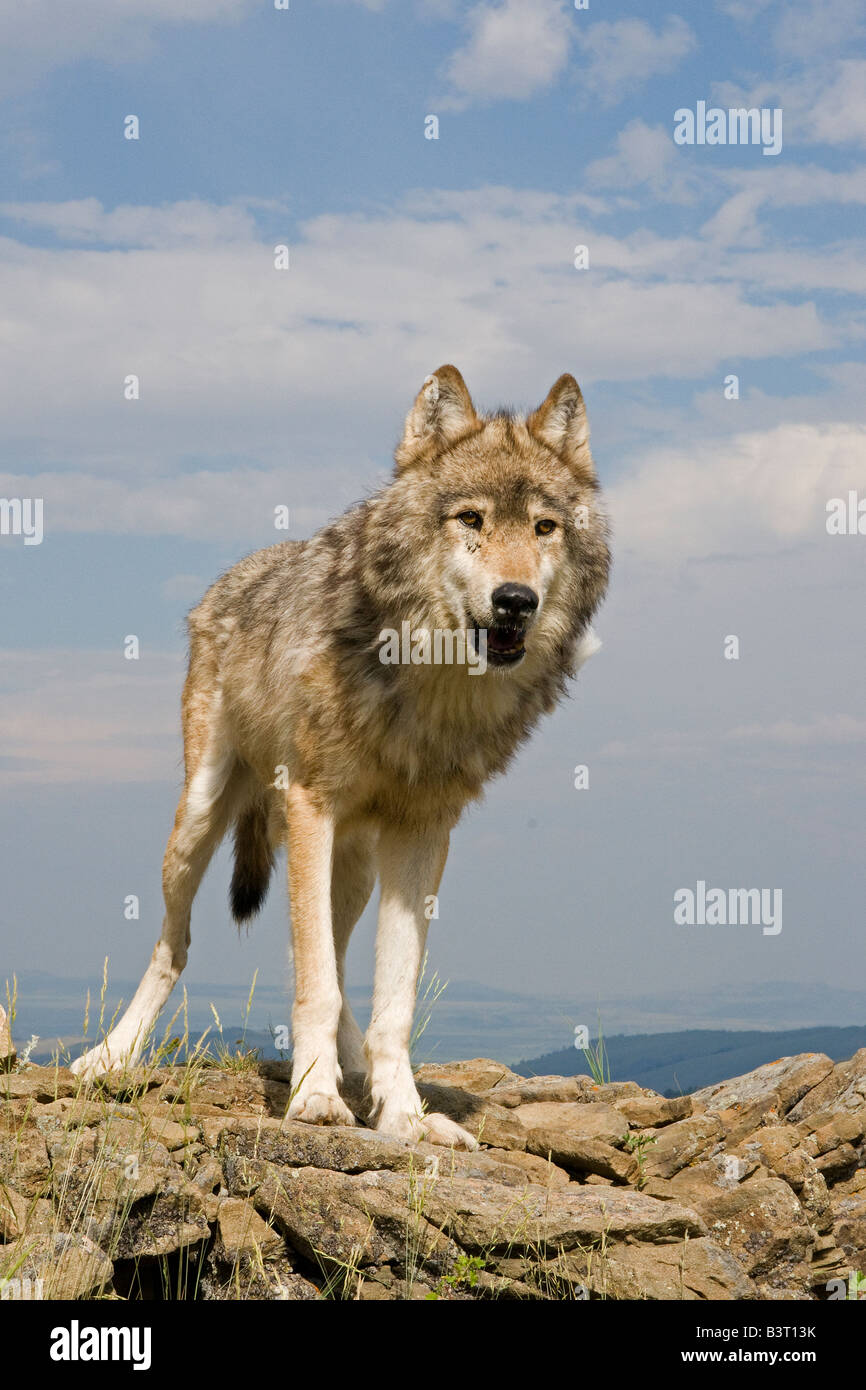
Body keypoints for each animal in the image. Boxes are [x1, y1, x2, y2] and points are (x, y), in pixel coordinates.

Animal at [72, 366, 610, 1148]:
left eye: (545, 527)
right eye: (471, 520)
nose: (516, 601)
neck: (428, 683)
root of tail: (236, 573)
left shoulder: (425, 833)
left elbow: (391, 998)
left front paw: (405, 1113)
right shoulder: (310, 805)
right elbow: (314, 986)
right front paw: (314, 1099)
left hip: (352, 868)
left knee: (340, 958)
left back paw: (358, 1070)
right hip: (199, 826)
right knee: (177, 947)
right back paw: (109, 1057)